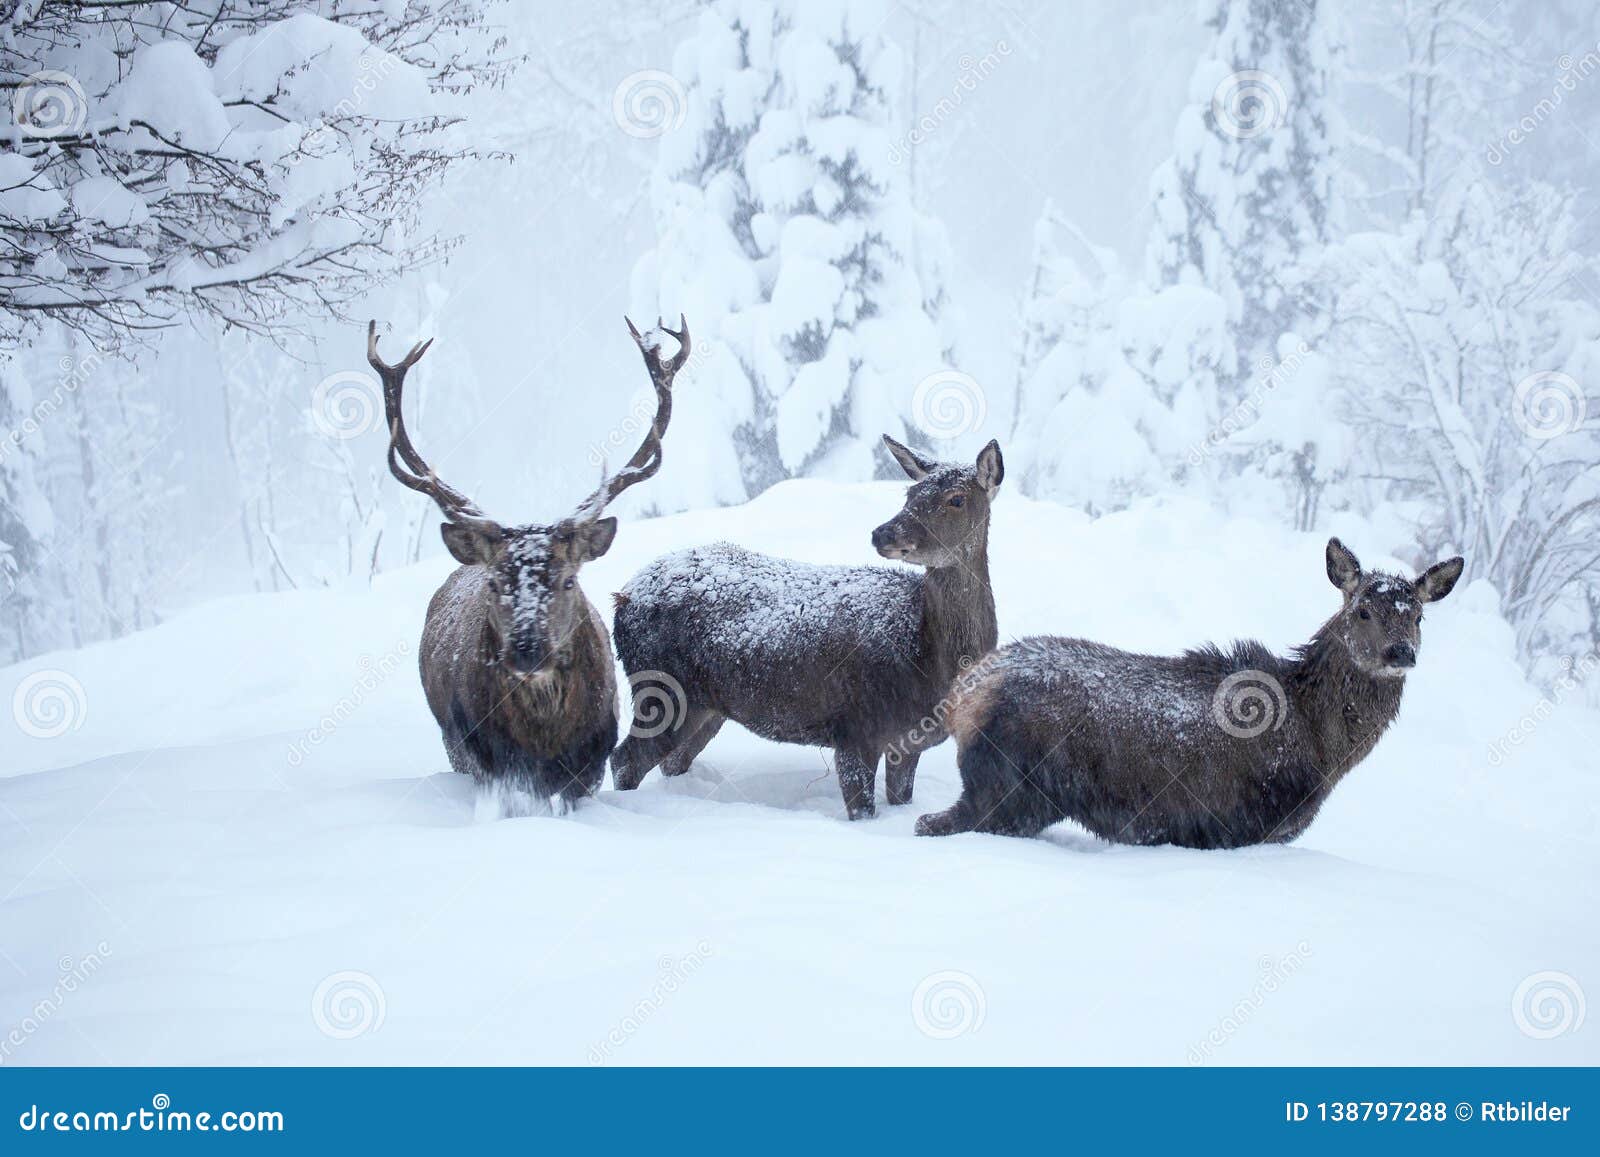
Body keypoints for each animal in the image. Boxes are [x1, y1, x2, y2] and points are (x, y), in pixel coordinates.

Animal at [368, 316, 690, 809]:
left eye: (568, 581)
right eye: (496, 583)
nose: (528, 648)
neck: (545, 738)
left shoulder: (591, 764)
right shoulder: (488, 763)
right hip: (453, 745)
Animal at [609, 436, 1005, 819]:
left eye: (956, 499)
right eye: (909, 494)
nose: (883, 533)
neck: (927, 660)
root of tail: (623, 597)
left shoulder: (908, 744)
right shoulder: (855, 729)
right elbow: (862, 810)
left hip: (707, 707)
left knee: (670, 762)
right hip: (664, 689)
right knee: (624, 759)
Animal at [916, 538, 1464, 847]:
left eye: (1418, 616)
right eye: (1363, 611)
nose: (1400, 652)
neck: (1323, 752)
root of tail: (967, 693)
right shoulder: (1242, 826)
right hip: (1009, 785)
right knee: (932, 822)